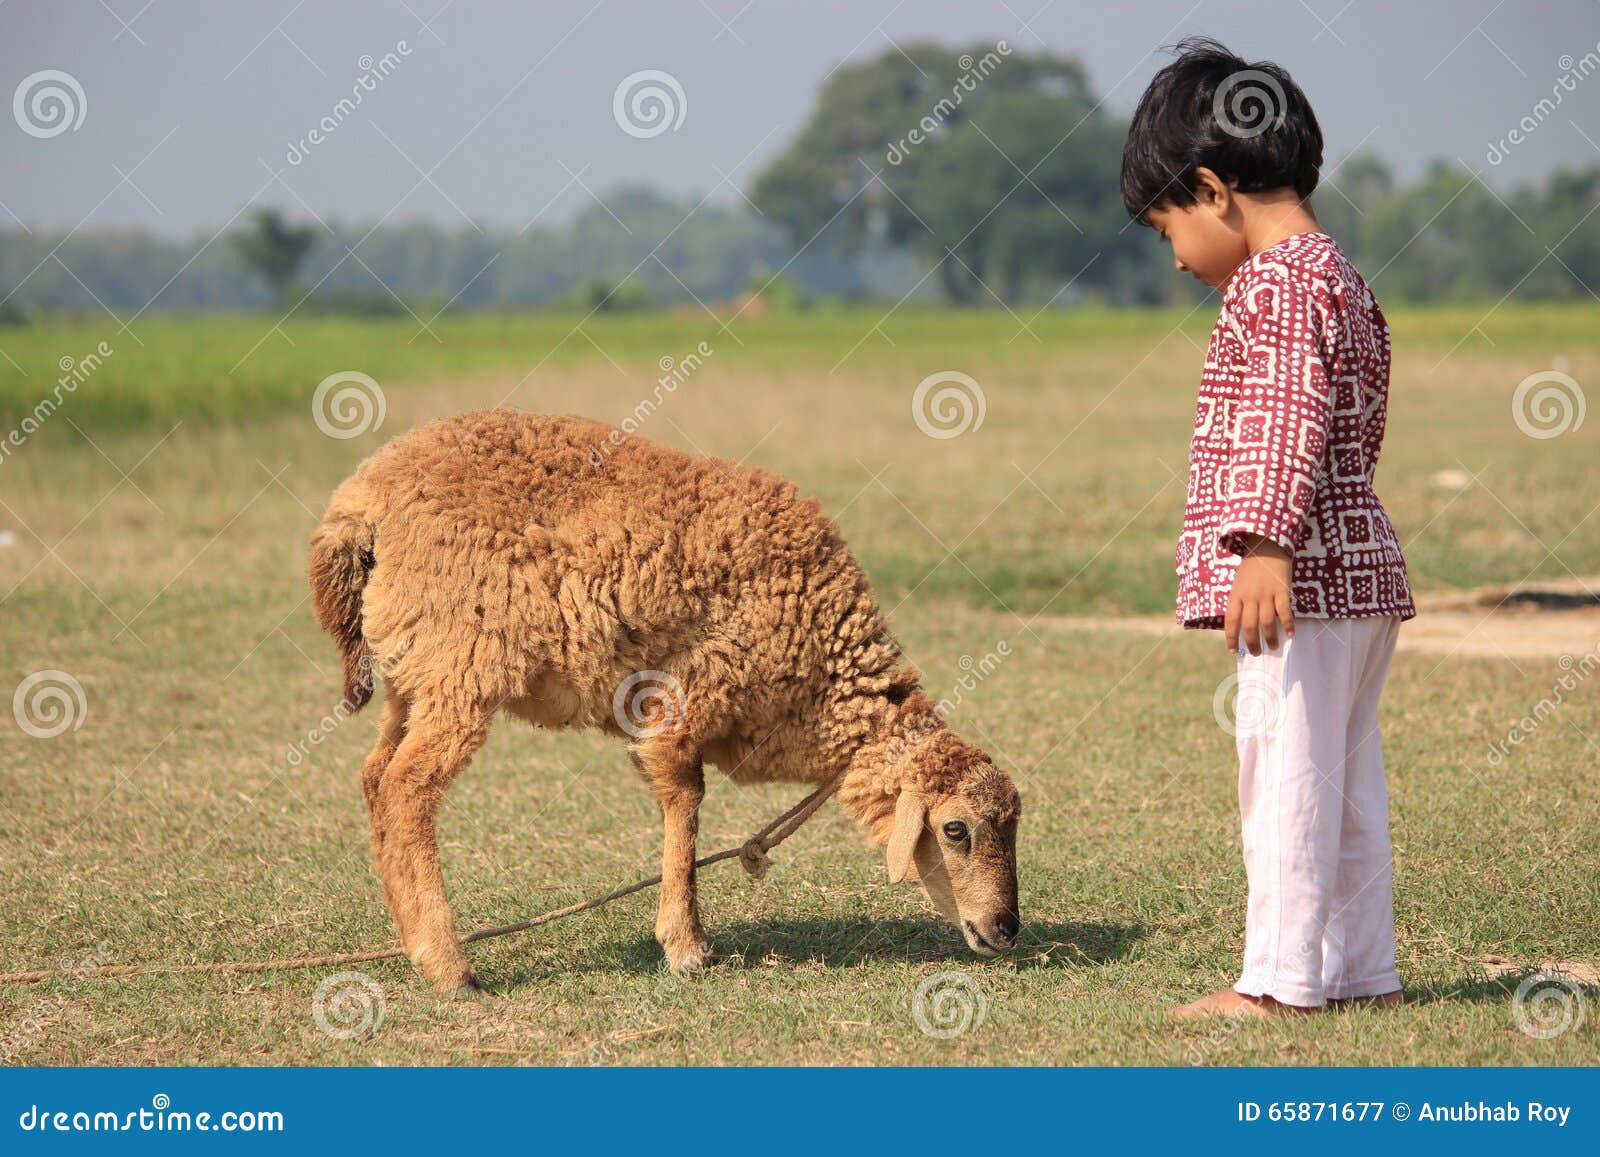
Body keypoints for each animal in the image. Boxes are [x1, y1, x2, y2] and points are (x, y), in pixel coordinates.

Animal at [308, 409, 1022, 995]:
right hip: (463, 663)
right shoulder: (689, 698)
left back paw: (413, 943)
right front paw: (687, 946)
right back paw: (450, 966)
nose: (1007, 926)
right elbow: (686, 800)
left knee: (375, 777)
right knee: (407, 788)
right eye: (955, 830)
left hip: (411, 670)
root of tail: (360, 502)